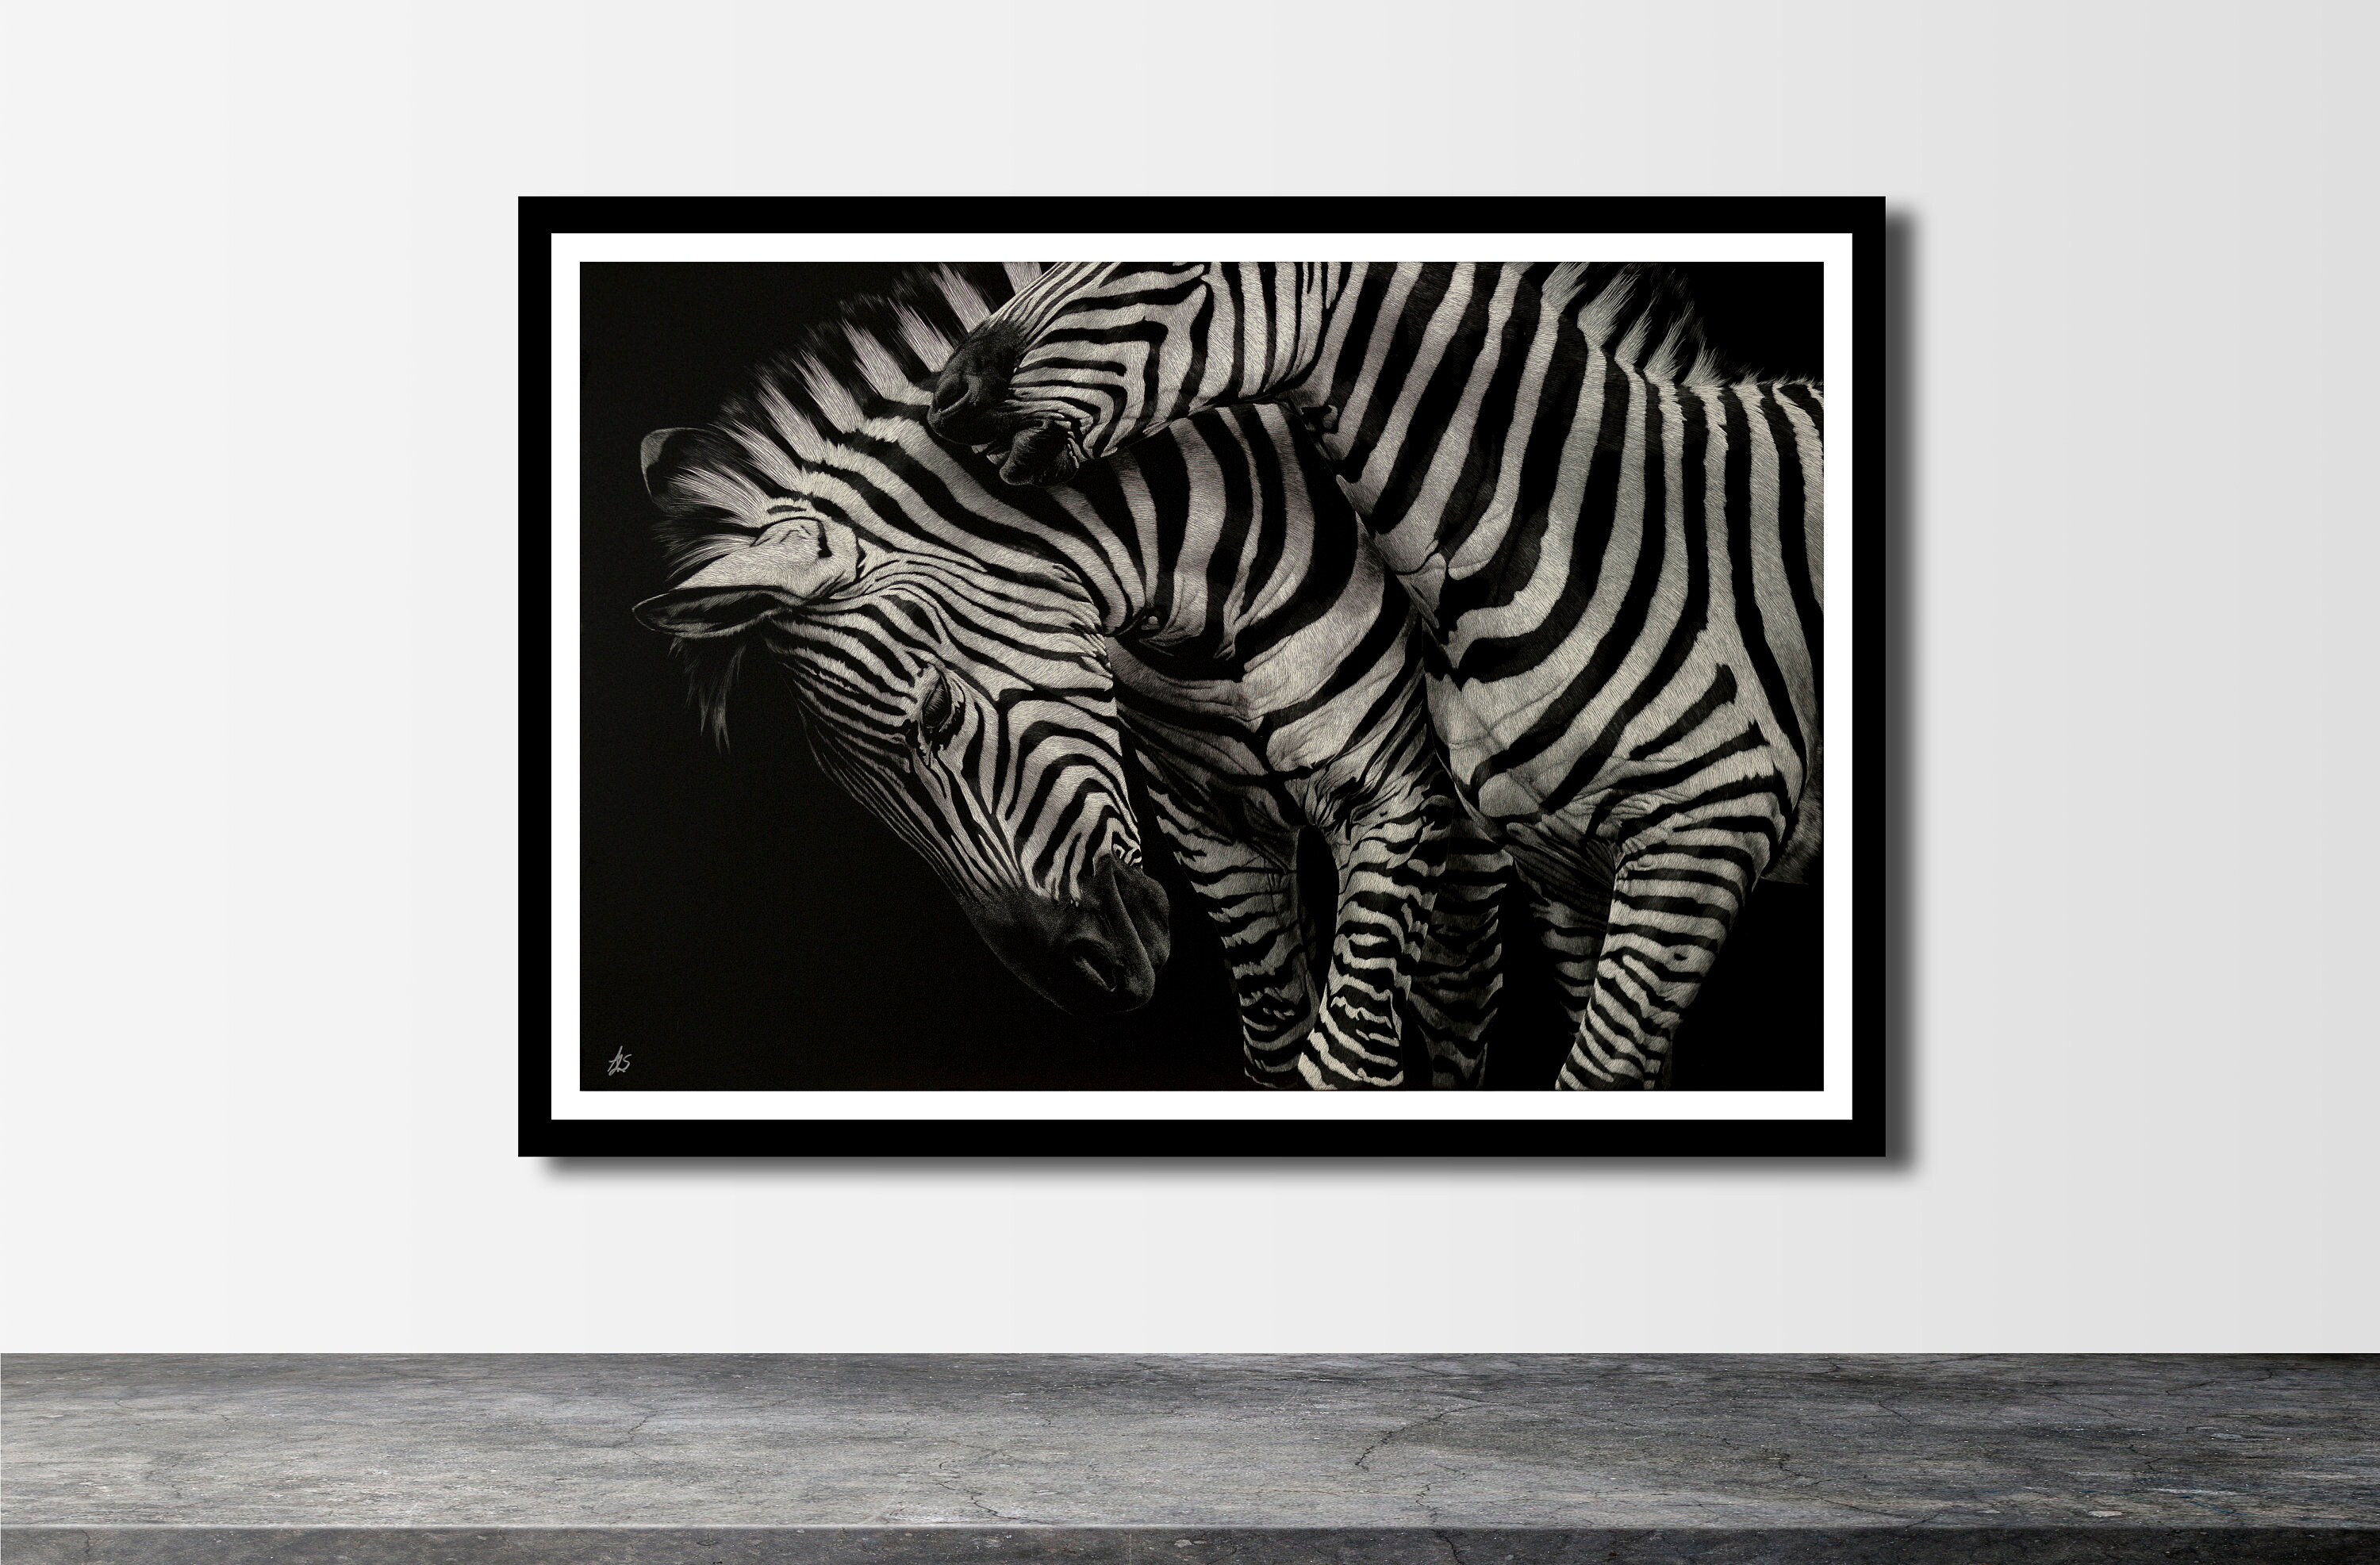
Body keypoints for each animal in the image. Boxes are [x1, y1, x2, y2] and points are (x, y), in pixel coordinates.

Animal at [631, 263, 1508, 1088]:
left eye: (937, 712)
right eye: (854, 794)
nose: (1099, 983)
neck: (1210, 606)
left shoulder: (1396, 794)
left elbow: (1349, 1056)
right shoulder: (1210, 828)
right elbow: (1274, 1044)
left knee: (1461, 990)